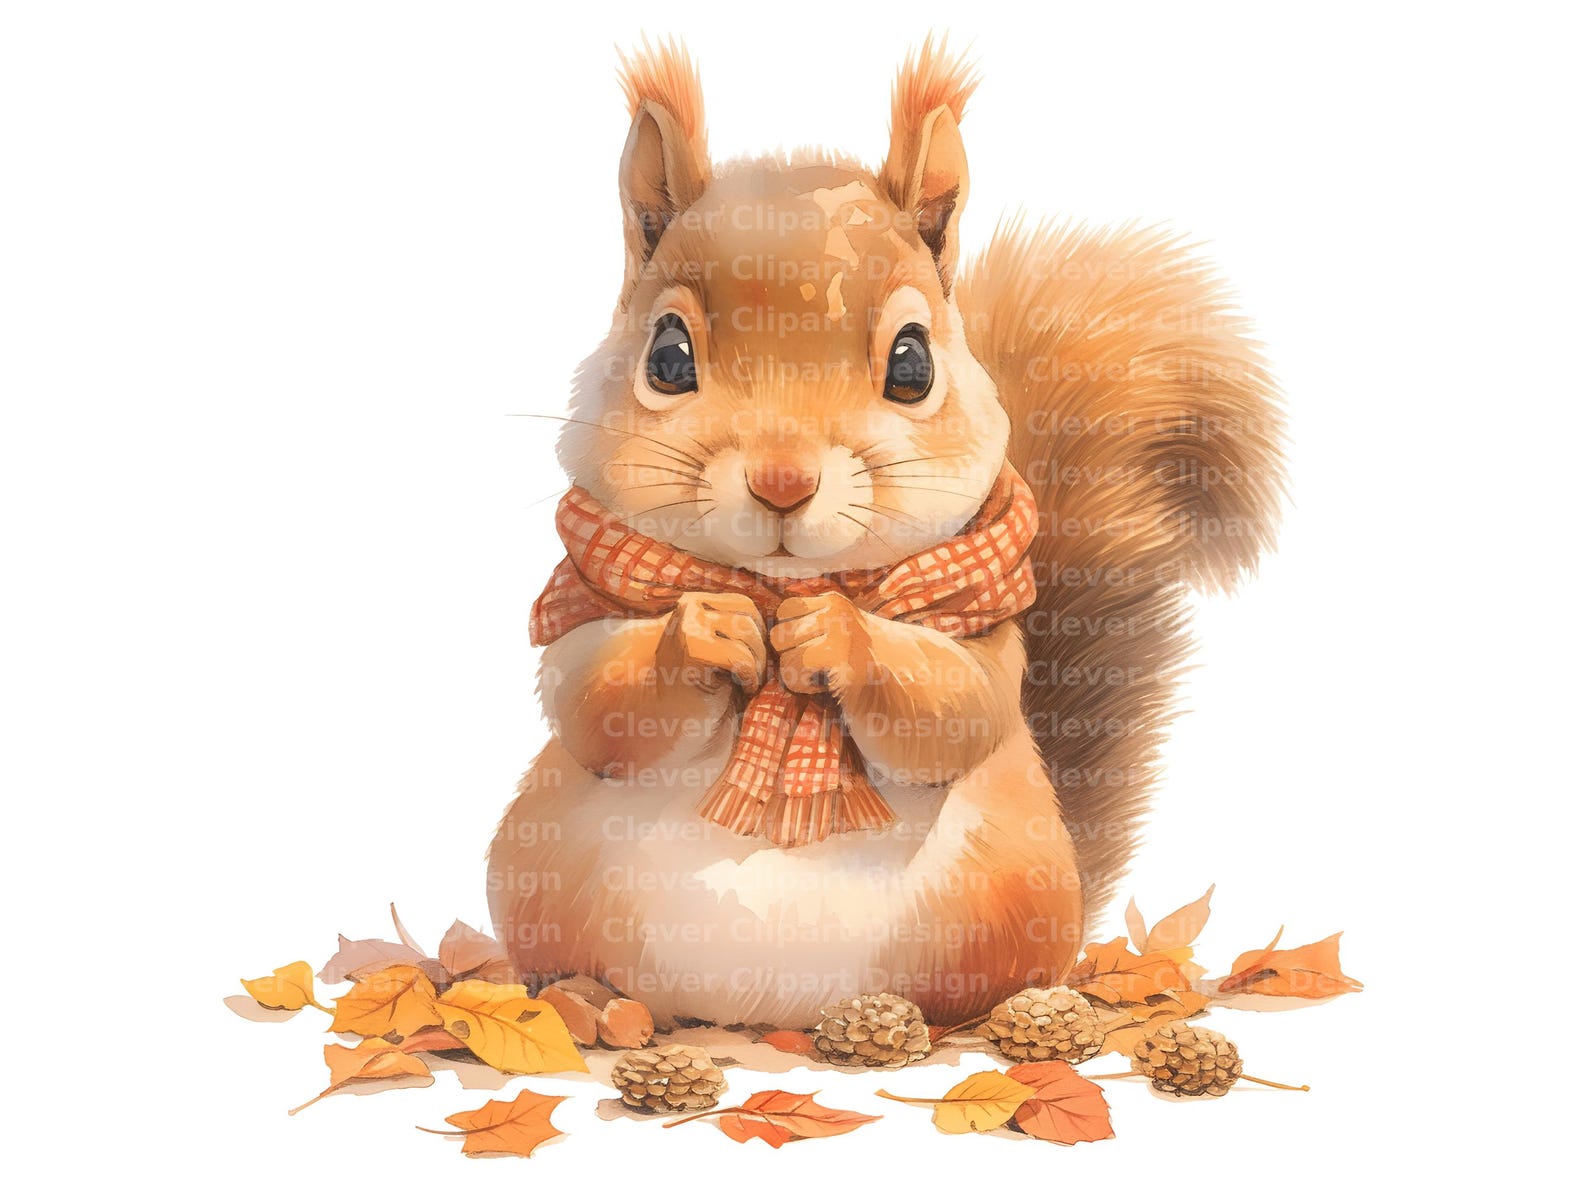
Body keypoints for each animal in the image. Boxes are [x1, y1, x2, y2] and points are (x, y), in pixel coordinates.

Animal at [487, 39, 1285, 1028]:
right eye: (666, 357)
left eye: (913, 362)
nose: (783, 481)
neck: (779, 586)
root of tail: (764, 1016)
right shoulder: (583, 599)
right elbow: (591, 704)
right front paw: (704, 629)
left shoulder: (981, 623)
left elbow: (956, 710)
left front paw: (839, 636)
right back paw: (593, 1006)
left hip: (999, 891)